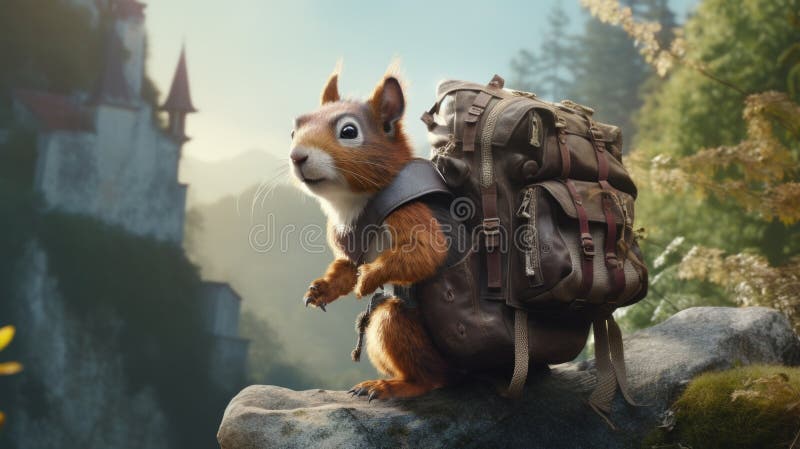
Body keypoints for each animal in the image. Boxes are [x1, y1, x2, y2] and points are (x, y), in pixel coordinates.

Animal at [289, 66, 451, 401]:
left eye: (349, 131)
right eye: (294, 130)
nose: (297, 156)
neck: (352, 204)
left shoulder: (408, 209)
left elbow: (426, 251)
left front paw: (367, 280)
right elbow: (345, 268)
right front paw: (320, 290)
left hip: (400, 327)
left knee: (433, 377)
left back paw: (391, 385)